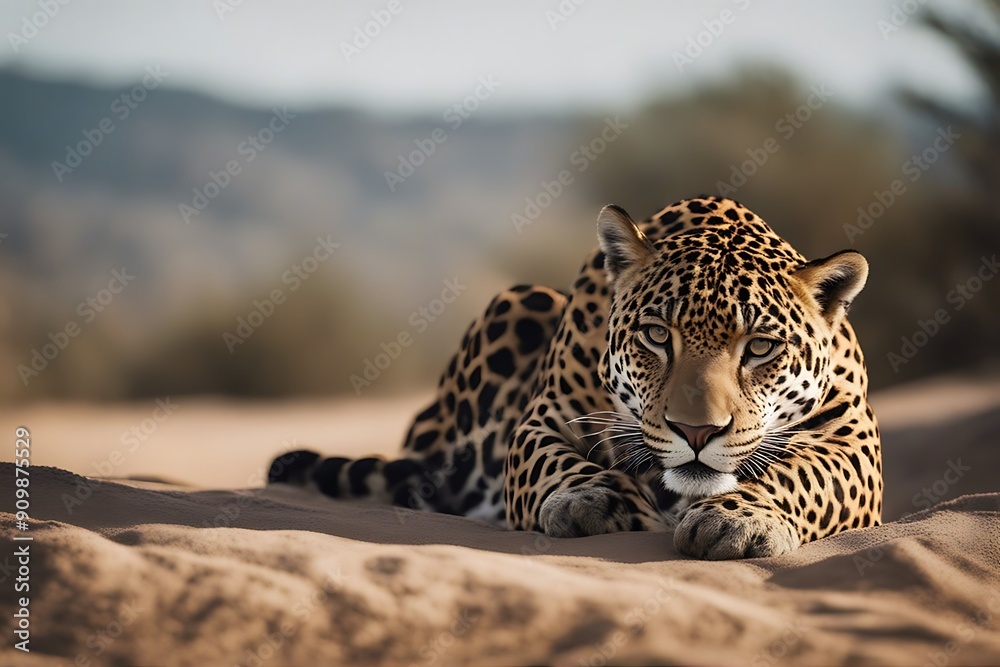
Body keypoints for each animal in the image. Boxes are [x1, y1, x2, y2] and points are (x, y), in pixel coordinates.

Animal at [268, 196, 882, 560]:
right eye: (657, 335)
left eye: (759, 347)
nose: (697, 432)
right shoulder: (544, 420)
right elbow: (552, 461)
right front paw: (595, 500)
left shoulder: (854, 443)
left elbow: (802, 475)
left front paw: (737, 520)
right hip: (520, 301)